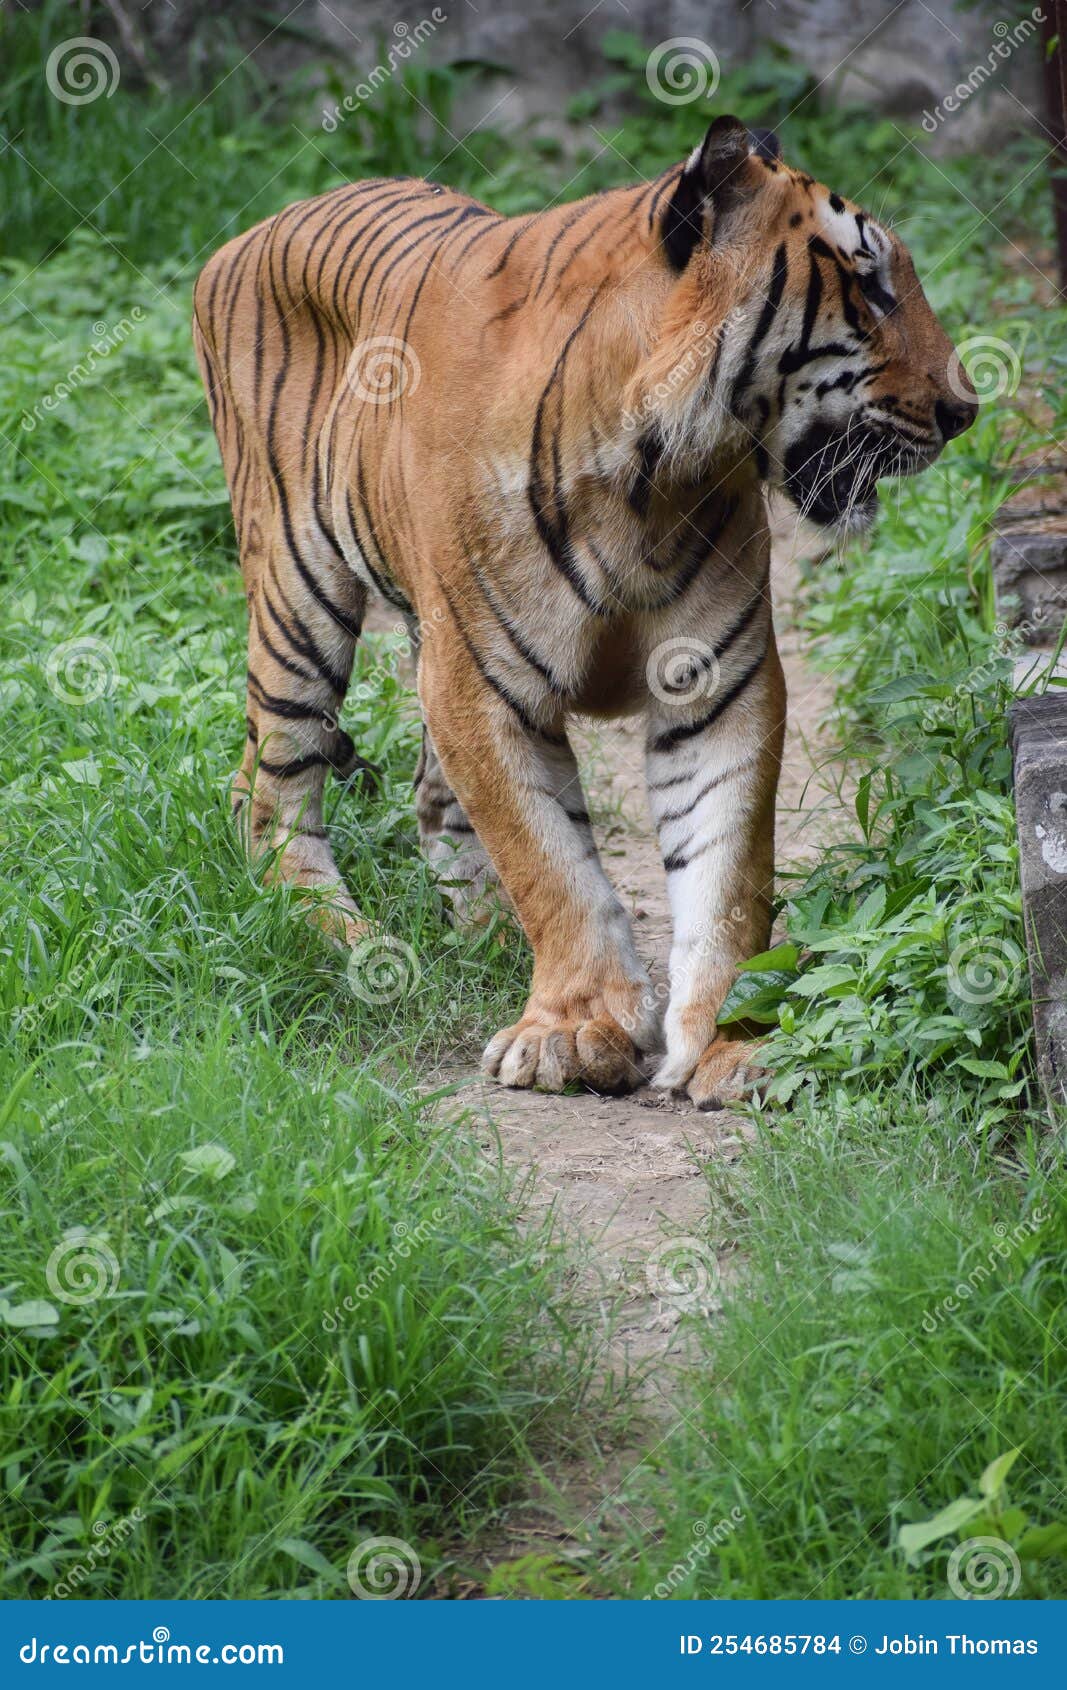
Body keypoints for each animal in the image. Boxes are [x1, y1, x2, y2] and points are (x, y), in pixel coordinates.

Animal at [193, 114, 977, 1109]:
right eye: (870, 283)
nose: (964, 408)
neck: (649, 474)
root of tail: (256, 228)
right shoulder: (477, 682)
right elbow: (549, 860)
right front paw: (572, 1031)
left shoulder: (717, 681)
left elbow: (724, 872)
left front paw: (731, 1041)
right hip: (296, 598)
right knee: (268, 788)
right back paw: (349, 939)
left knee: (429, 797)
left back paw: (483, 935)